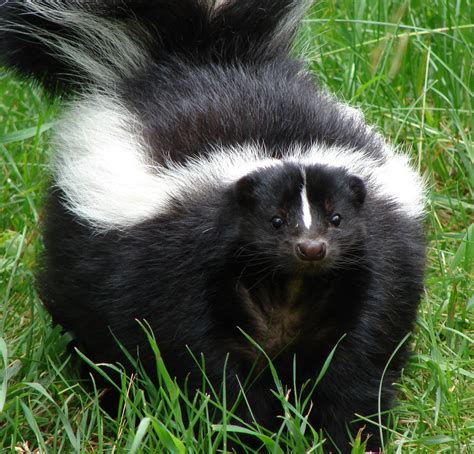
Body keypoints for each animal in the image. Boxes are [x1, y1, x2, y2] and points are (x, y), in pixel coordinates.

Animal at [0, 0, 426, 450]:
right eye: (274, 220)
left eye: (337, 219)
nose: (311, 248)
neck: (288, 287)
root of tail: (200, 53)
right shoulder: (176, 267)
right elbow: (205, 365)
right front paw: (238, 434)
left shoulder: (375, 264)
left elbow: (358, 362)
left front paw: (351, 437)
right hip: (79, 254)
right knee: (91, 333)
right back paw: (108, 397)